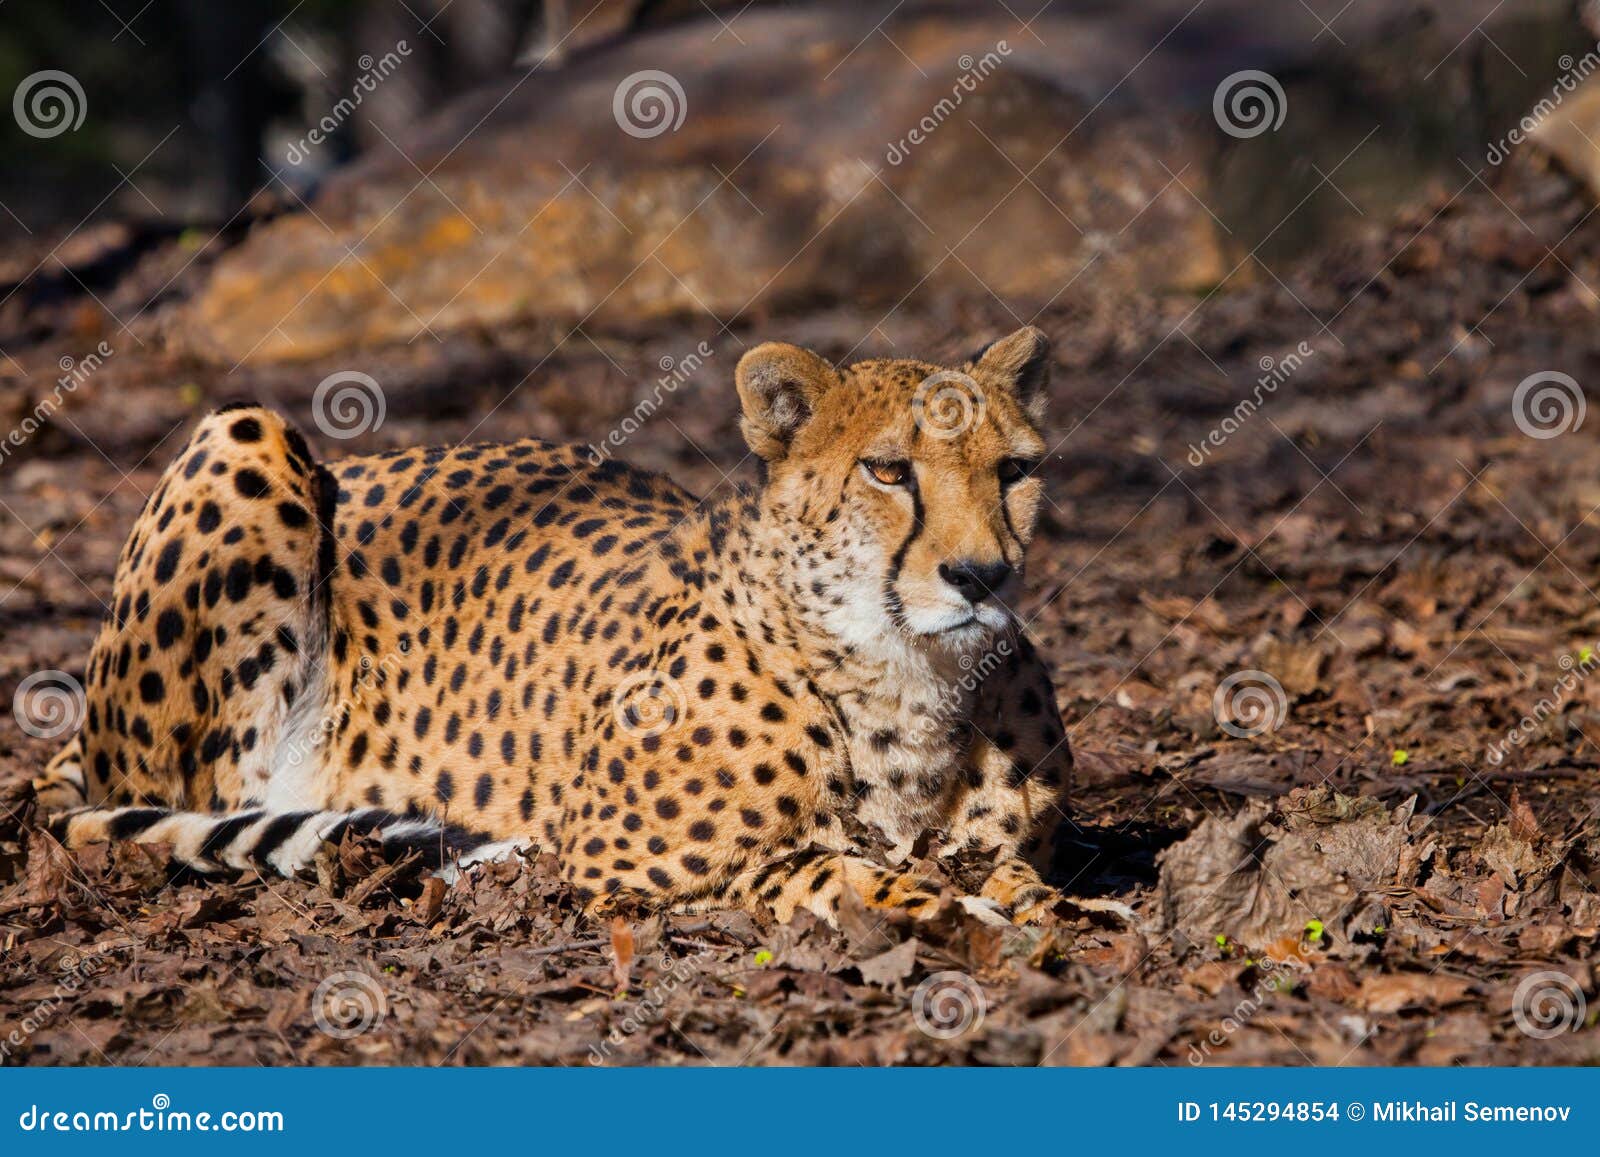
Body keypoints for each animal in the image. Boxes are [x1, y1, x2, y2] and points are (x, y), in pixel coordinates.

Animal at [34, 326, 1074, 925]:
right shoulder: (616, 866)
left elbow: (1020, 878)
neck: (906, 679)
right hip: (244, 436)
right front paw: (923, 899)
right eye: (889, 471)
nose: (981, 574)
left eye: (1014, 471)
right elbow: (814, 867)